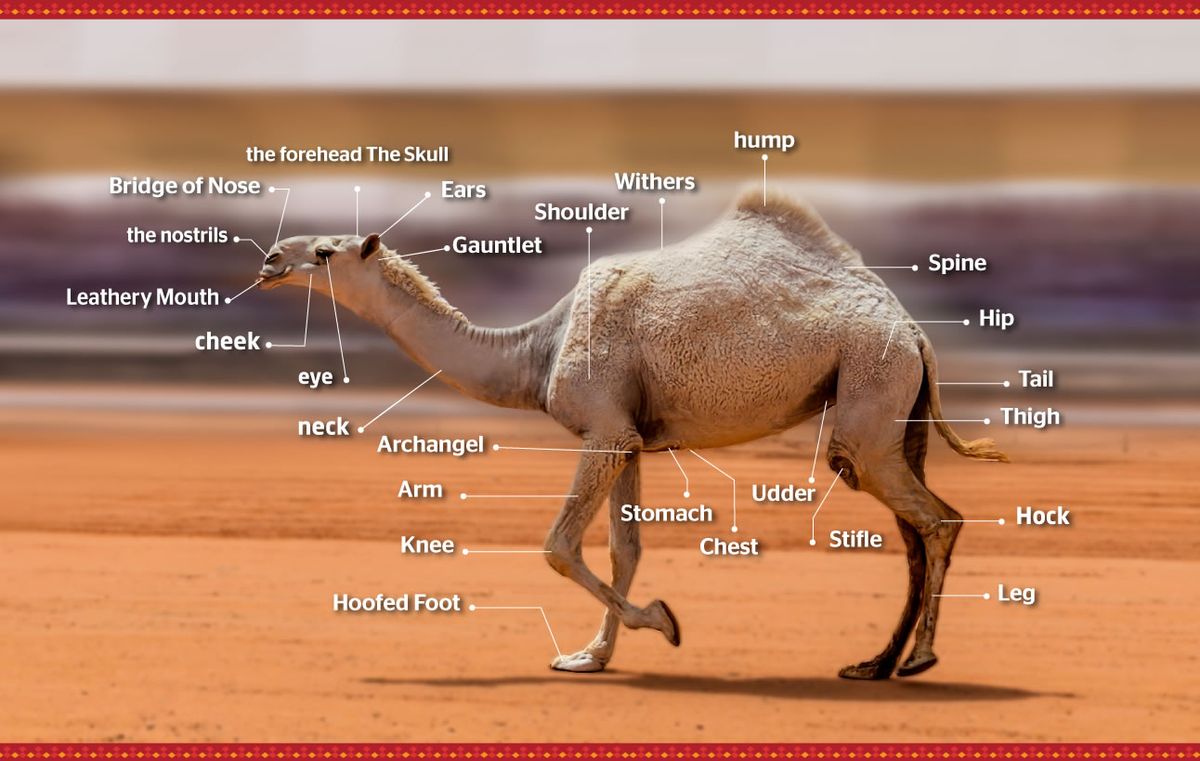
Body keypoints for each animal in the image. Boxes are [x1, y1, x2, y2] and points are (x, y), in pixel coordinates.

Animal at [256, 191, 1007, 680]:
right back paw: (873, 663)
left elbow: (558, 545)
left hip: (871, 386)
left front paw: (662, 623)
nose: (268, 260)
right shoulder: (631, 438)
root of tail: (913, 329)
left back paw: (917, 661)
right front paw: (592, 656)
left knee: (935, 518)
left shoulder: (604, 431)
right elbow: (626, 548)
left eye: (324, 251)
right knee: (914, 530)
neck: (539, 348)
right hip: (893, 409)